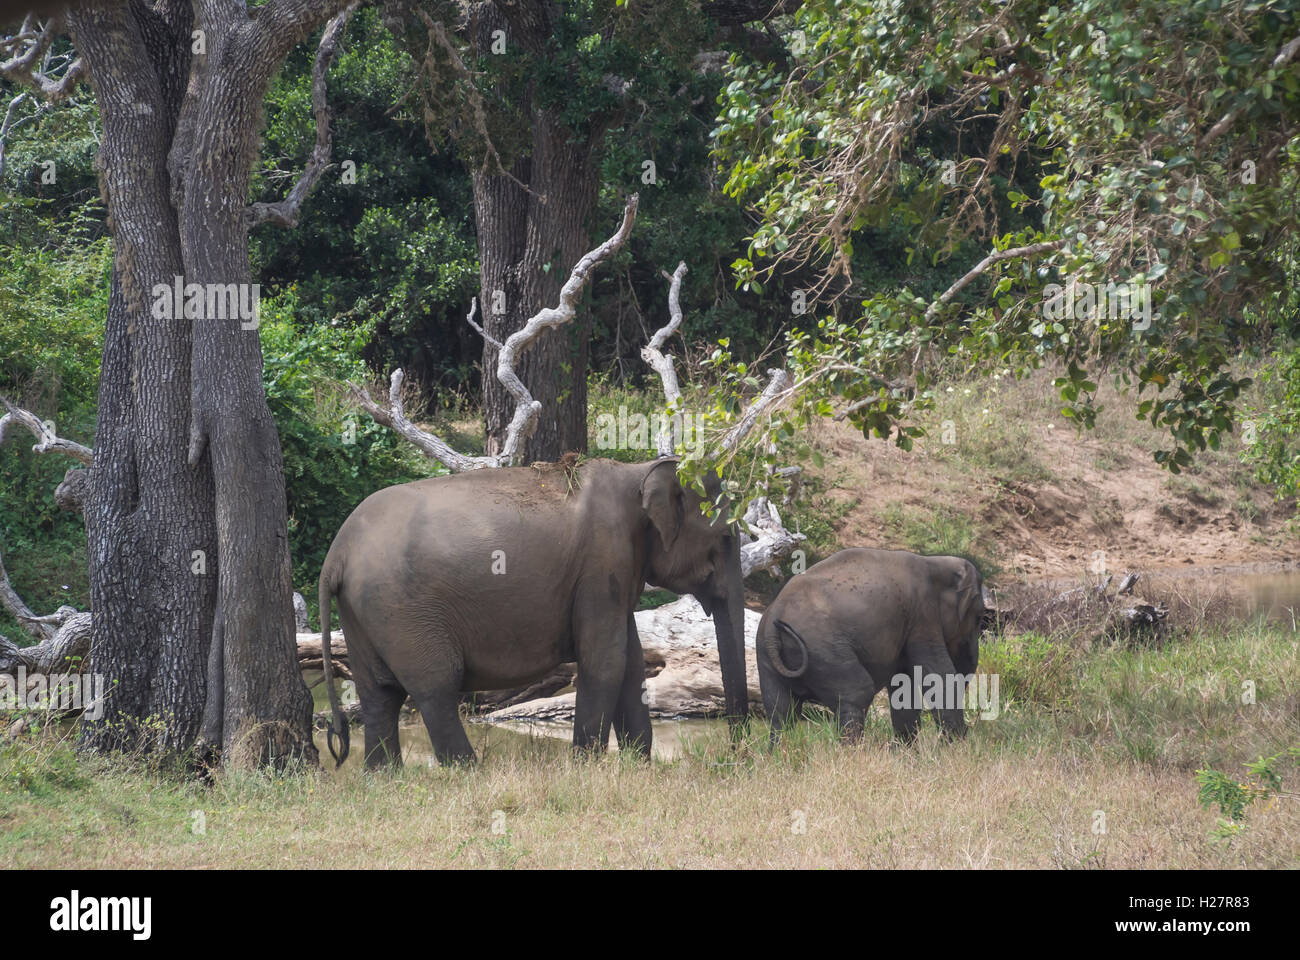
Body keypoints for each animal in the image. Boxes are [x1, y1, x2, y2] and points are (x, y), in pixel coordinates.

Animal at [318, 456, 747, 767]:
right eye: (727, 537)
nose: (735, 755)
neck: (638, 470)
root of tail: (336, 554)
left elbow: (631, 662)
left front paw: (637, 764)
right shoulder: (602, 562)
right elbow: (606, 662)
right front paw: (586, 767)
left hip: (362, 612)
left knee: (378, 694)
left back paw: (384, 777)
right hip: (403, 613)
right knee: (434, 687)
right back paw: (468, 771)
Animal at [756, 548, 985, 744]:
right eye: (979, 617)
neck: (935, 562)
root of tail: (774, 622)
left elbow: (903, 685)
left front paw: (906, 753)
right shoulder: (923, 615)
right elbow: (939, 676)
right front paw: (956, 746)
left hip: (768, 658)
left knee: (781, 710)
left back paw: (780, 752)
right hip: (822, 649)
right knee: (858, 692)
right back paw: (851, 753)